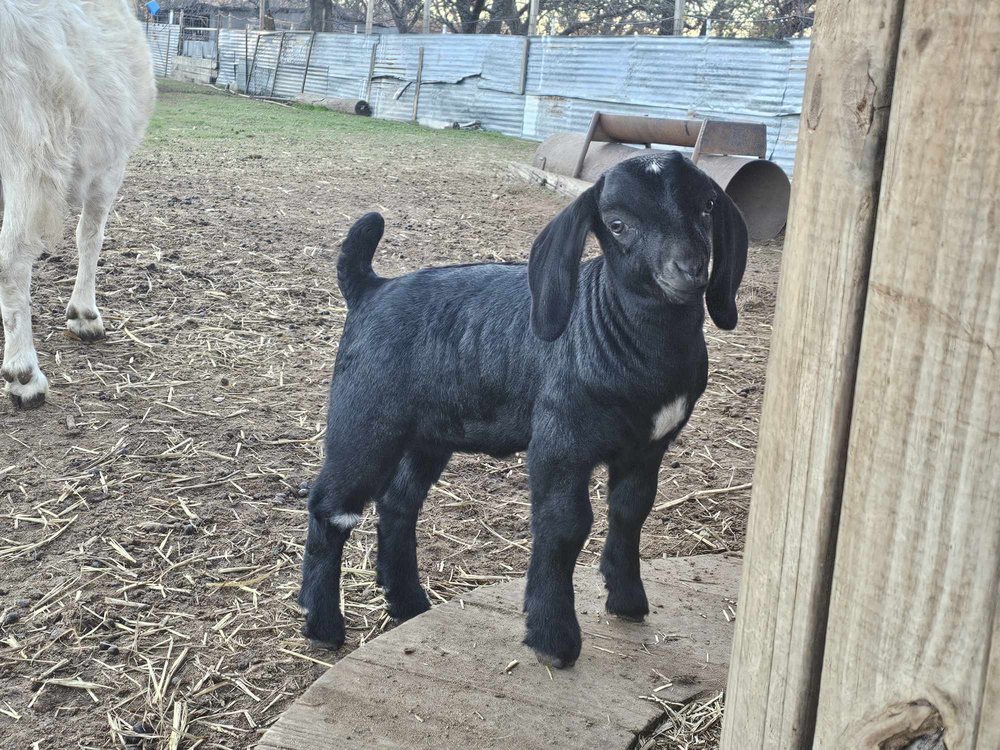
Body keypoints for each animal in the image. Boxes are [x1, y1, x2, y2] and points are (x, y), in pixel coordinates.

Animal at [0, 0, 156, 409]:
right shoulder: (110, 164)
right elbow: (90, 236)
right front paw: (84, 316)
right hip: (29, 143)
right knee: (11, 258)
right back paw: (24, 376)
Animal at [299, 152, 748, 668]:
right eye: (617, 223)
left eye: (706, 207)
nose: (689, 269)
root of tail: (370, 288)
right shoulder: (559, 441)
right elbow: (565, 524)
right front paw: (553, 637)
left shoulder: (648, 447)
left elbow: (631, 511)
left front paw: (628, 600)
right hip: (366, 417)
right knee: (331, 507)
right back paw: (323, 625)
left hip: (430, 433)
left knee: (398, 503)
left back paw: (409, 602)